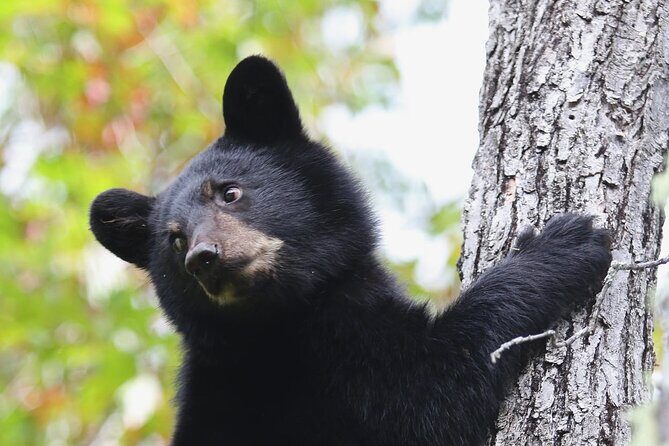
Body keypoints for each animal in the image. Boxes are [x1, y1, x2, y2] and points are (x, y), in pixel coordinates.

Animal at [89, 56, 612, 445]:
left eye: (229, 192)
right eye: (174, 239)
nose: (203, 258)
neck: (285, 315)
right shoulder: (338, 368)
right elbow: (434, 390)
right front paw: (567, 242)